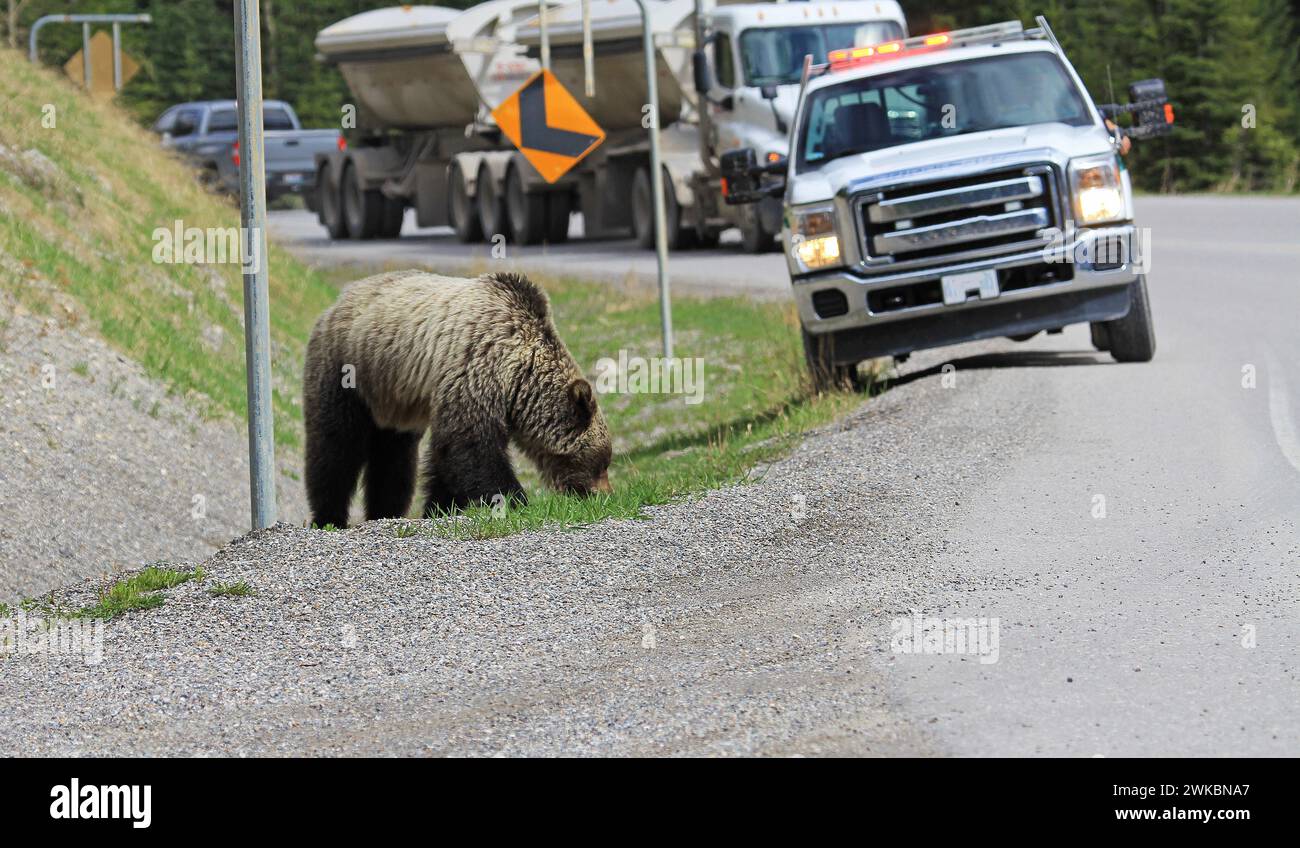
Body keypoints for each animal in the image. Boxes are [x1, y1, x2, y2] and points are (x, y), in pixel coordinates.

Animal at [302, 269, 612, 528]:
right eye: (601, 462)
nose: (604, 494)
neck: (517, 377)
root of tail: (336, 302)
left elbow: (449, 457)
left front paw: (438, 508)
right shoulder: (477, 366)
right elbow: (469, 447)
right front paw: (517, 501)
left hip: (393, 399)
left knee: (394, 458)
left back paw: (385, 510)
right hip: (348, 370)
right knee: (336, 445)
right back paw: (328, 517)